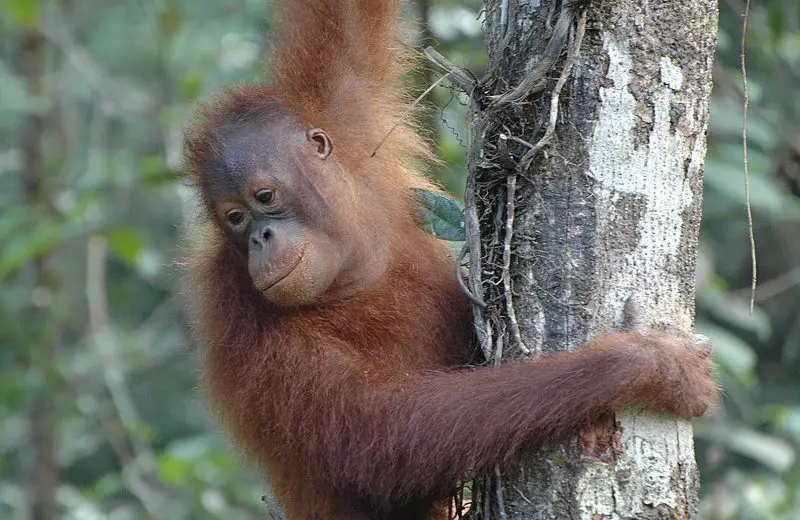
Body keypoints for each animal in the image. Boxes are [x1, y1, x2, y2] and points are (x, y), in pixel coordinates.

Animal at [183, 2, 717, 519]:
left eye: (265, 197)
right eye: (234, 219)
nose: (261, 238)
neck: (350, 266)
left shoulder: (345, 112)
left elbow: (345, 18)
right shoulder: (239, 324)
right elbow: (384, 437)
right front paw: (649, 364)